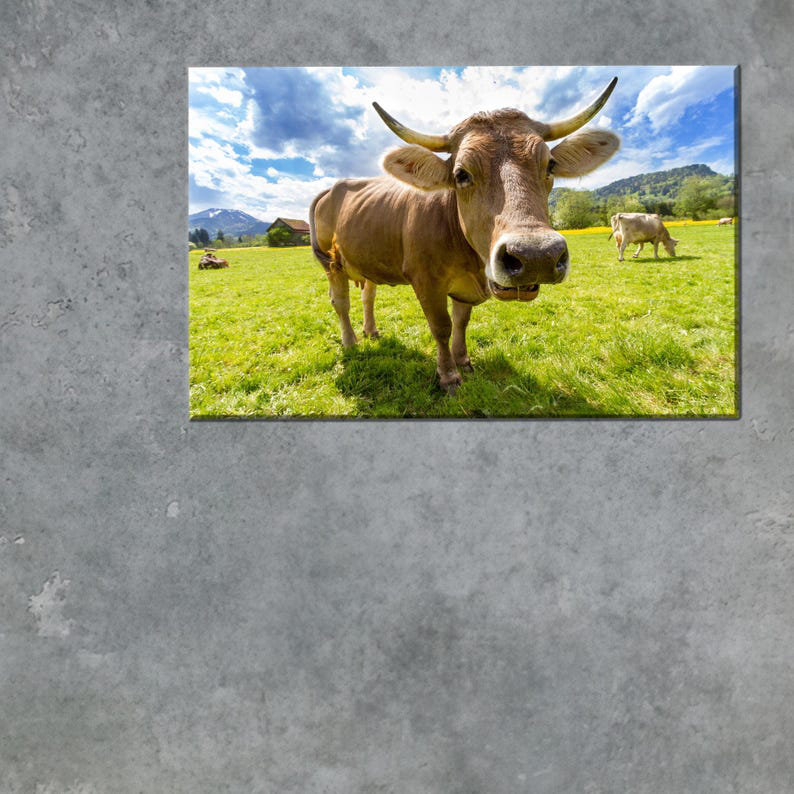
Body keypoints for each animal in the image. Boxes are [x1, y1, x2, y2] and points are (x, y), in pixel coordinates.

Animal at [310, 78, 620, 393]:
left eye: (550, 165)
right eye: (461, 174)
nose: (536, 256)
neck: (470, 262)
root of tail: (334, 187)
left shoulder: (464, 288)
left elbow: (461, 322)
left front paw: (463, 362)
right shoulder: (426, 281)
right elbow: (441, 326)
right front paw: (448, 375)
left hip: (366, 259)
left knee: (367, 296)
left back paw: (371, 331)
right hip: (331, 263)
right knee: (340, 302)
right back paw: (350, 342)